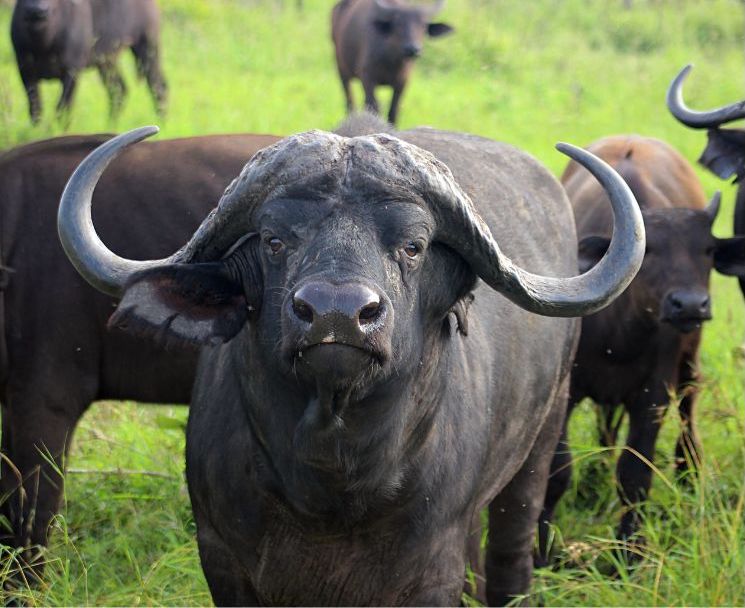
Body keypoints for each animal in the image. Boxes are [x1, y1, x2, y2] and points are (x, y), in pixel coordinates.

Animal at [10, 0, 168, 124]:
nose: (37, 10)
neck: (43, 43)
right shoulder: (25, 70)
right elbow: (35, 110)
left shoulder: (72, 71)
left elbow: (62, 109)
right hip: (106, 61)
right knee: (118, 90)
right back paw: (110, 125)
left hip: (148, 47)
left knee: (158, 86)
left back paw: (162, 122)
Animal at [58, 116, 644, 605]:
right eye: (273, 240)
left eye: (413, 246)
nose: (335, 314)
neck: (333, 482)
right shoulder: (222, 559)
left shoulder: (430, 572)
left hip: (541, 444)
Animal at [537, 135, 745, 564]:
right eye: (649, 251)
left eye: (708, 251)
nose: (690, 305)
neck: (620, 332)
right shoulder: (567, 391)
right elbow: (556, 472)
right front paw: (543, 552)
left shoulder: (654, 394)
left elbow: (634, 473)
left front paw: (629, 553)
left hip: (690, 363)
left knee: (688, 411)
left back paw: (688, 473)